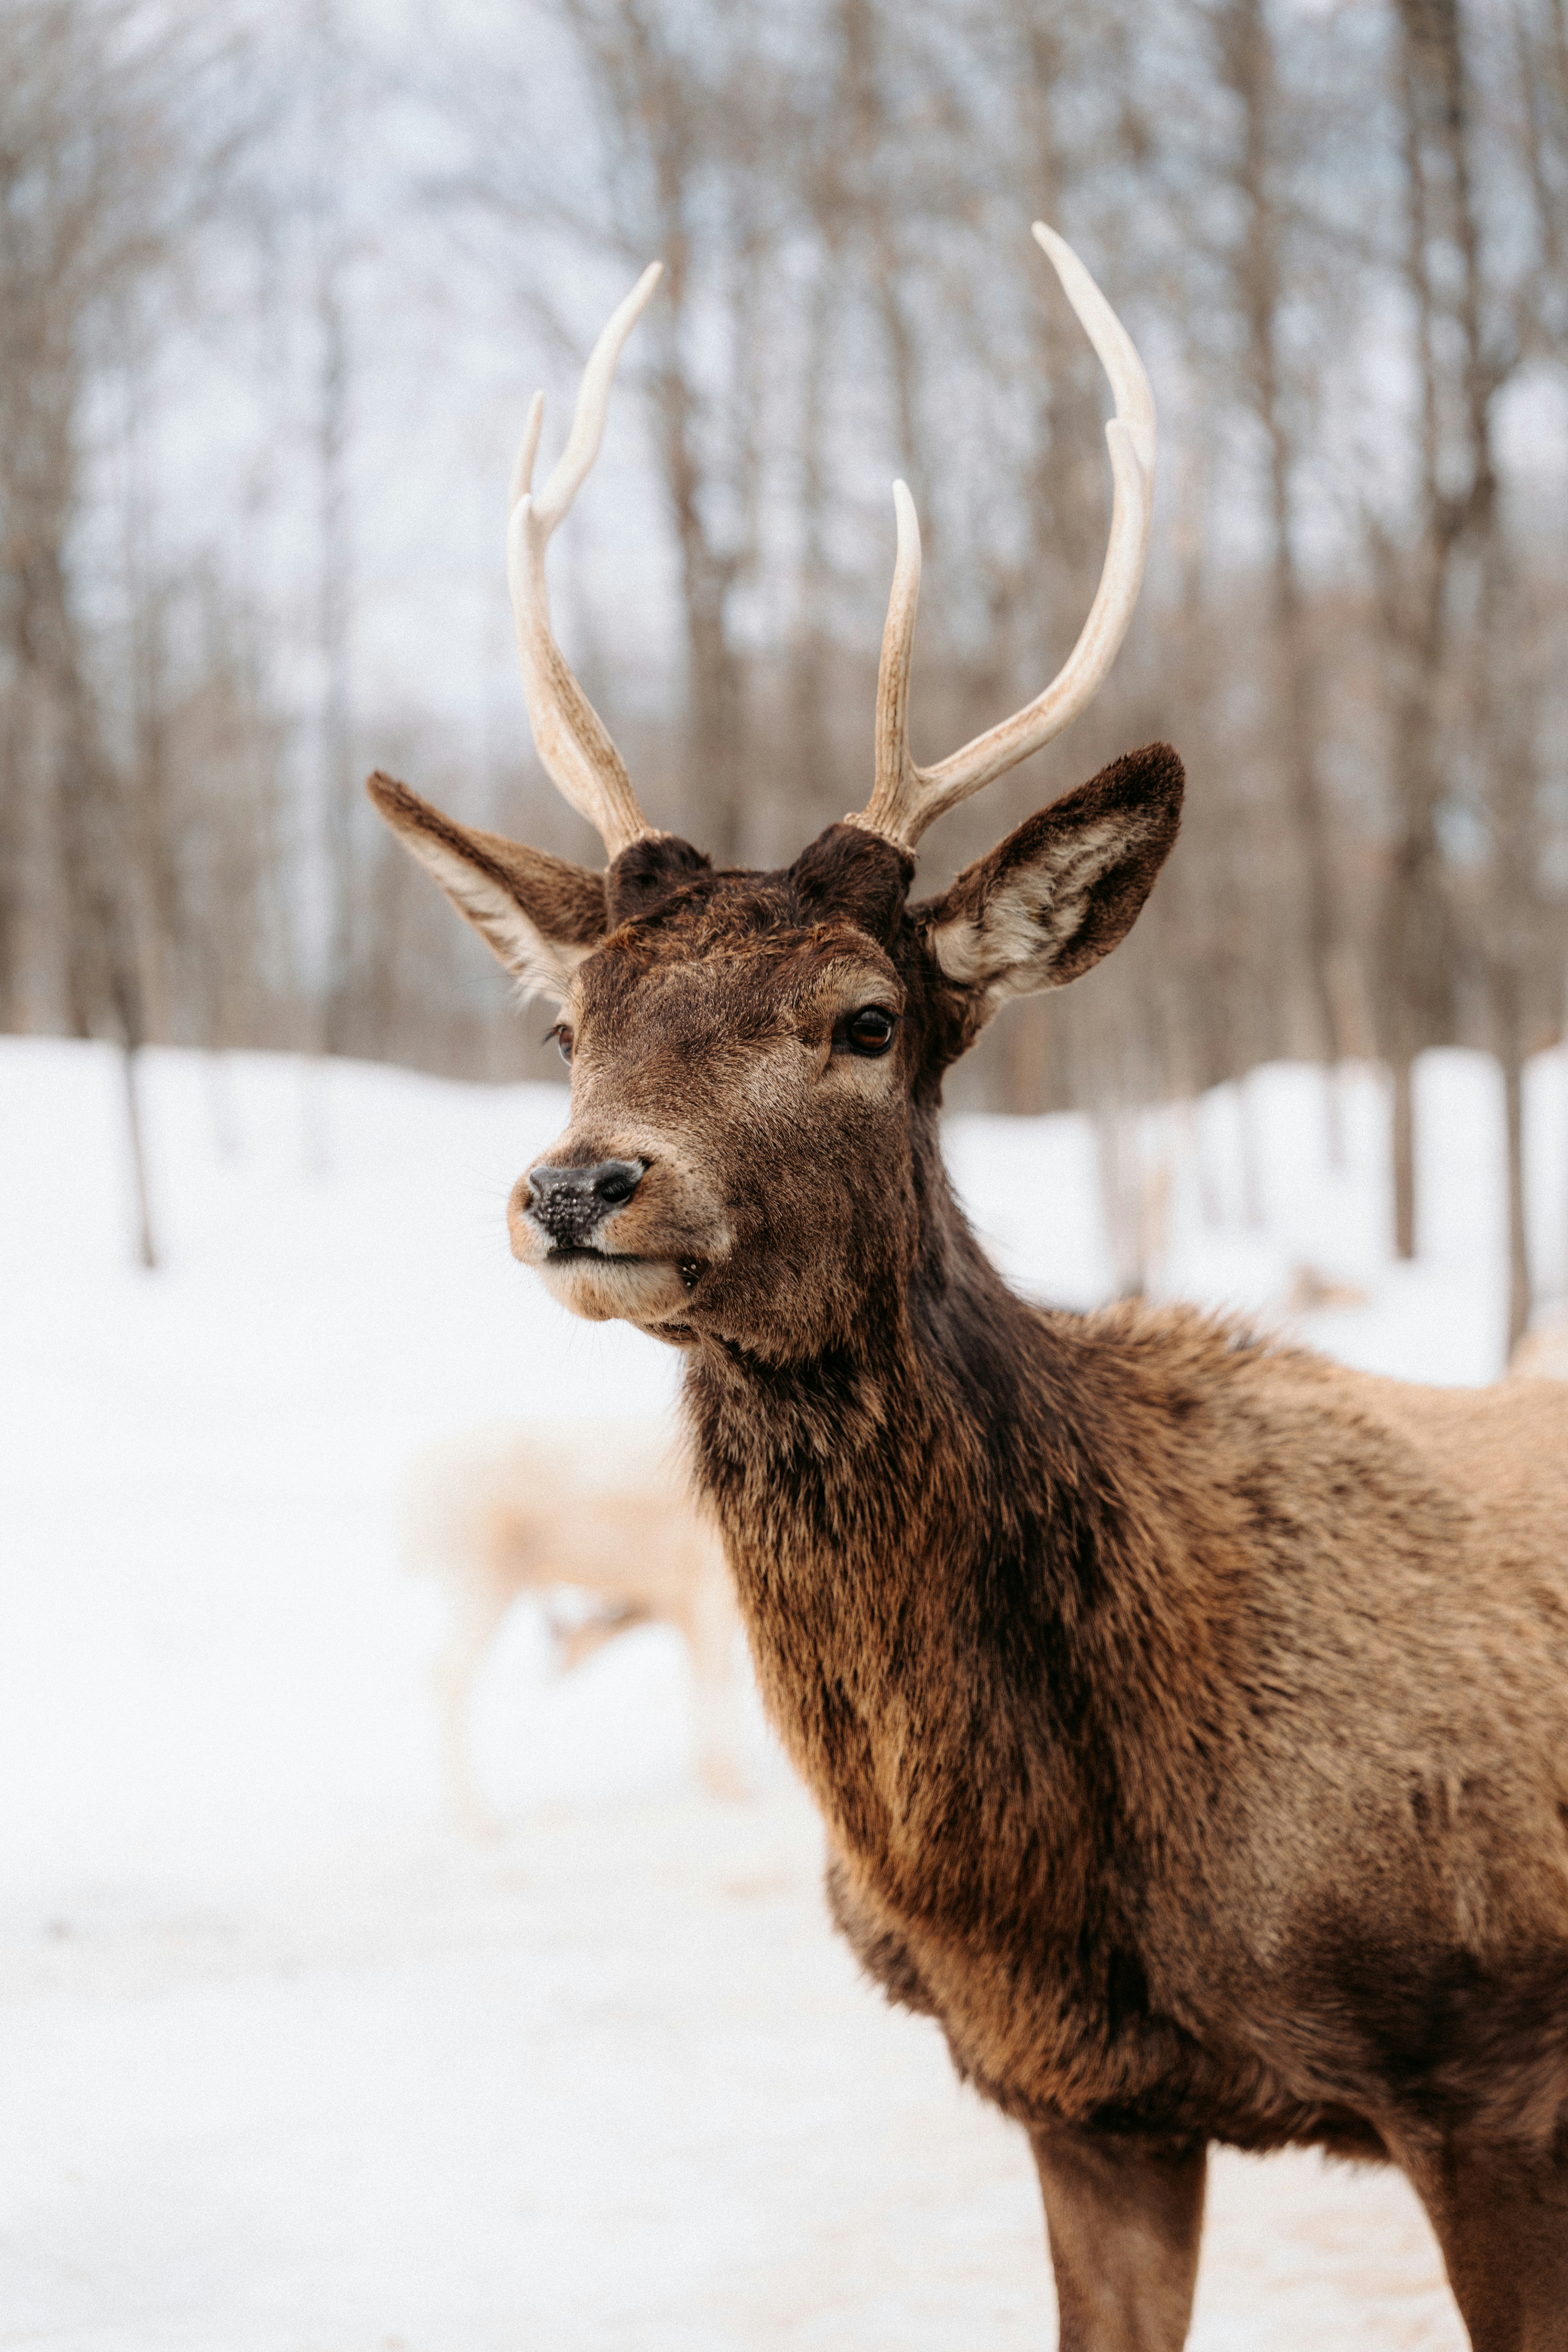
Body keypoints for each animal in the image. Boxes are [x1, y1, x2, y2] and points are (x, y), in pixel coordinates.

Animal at [401, 1422, 747, 1833]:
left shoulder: (683, 1598)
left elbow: (701, 1672)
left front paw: (715, 1780)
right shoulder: (712, 1586)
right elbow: (719, 1677)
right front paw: (736, 1790)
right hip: (482, 1576)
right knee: (447, 1674)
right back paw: (480, 1823)